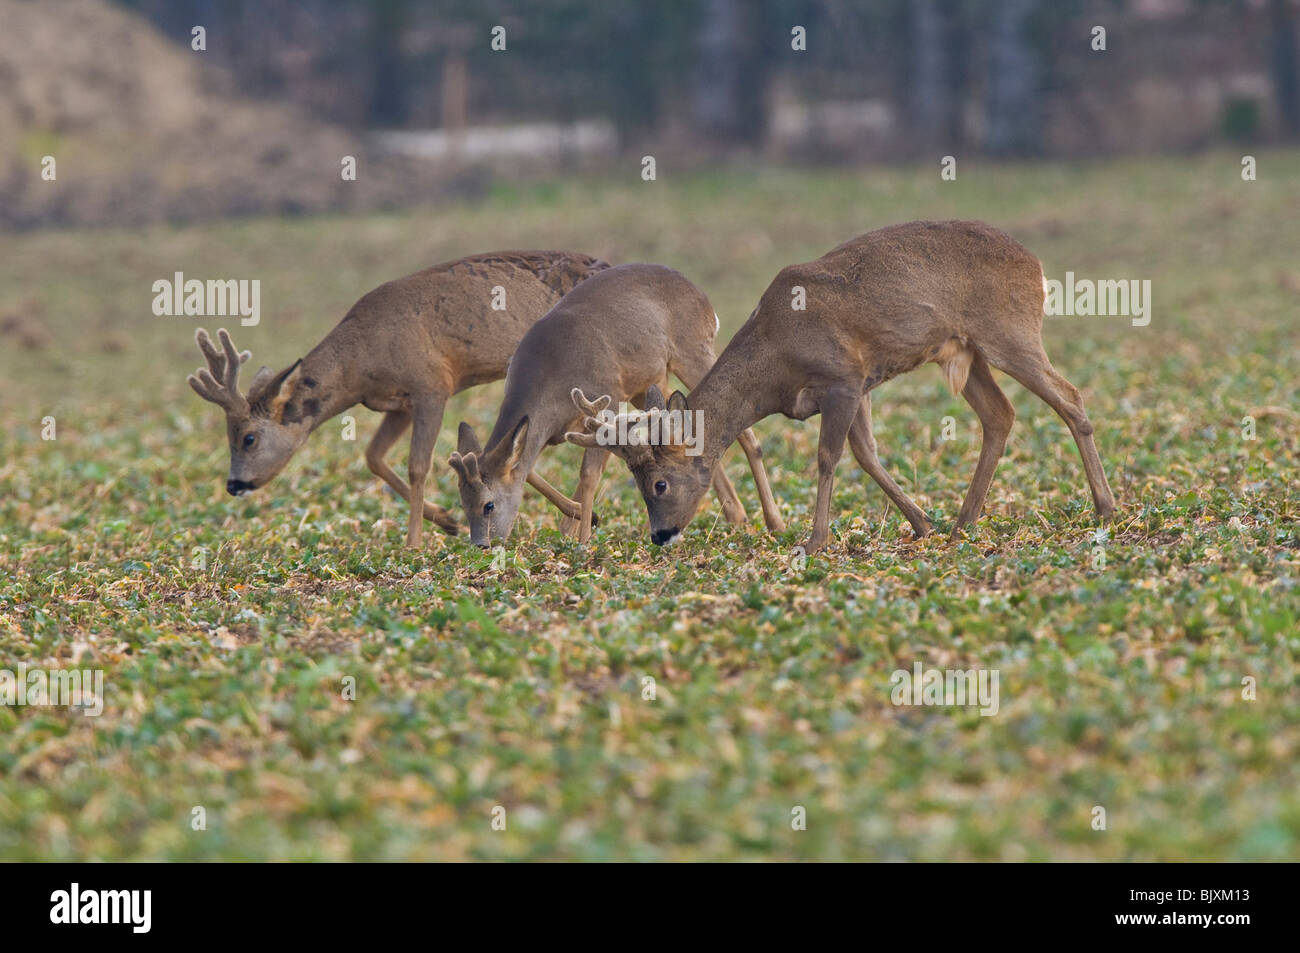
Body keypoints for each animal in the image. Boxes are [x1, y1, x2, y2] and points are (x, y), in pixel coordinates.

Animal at [186, 250, 613, 547]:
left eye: (248, 438)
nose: (234, 484)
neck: (361, 362)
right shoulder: (395, 403)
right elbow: (374, 456)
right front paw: (446, 519)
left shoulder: (432, 385)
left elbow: (418, 466)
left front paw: (413, 542)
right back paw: (577, 519)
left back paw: (574, 523)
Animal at [445, 262, 786, 548]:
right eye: (461, 502)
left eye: (488, 505)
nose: (481, 546)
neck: (551, 377)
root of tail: (701, 296)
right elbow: (527, 469)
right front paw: (578, 520)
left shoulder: (605, 396)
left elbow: (588, 475)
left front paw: (582, 541)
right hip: (648, 382)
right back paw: (737, 516)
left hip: (692, 350)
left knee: (746, 432)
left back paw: (774, 522)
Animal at [567, 221, 1117, 553]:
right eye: (637, 483)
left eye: (659, 483)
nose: (660, 535)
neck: (776, 362)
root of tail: (1037, 266)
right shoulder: (860, 384)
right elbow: (867, 455)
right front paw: (922, 523)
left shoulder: (843, 378)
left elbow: (831, 457)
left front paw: (814, 541)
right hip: (966, 350)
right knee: (1000, 414)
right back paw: (964, 521)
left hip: (1009, 330)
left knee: (1070, 397)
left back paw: (1106, 508)